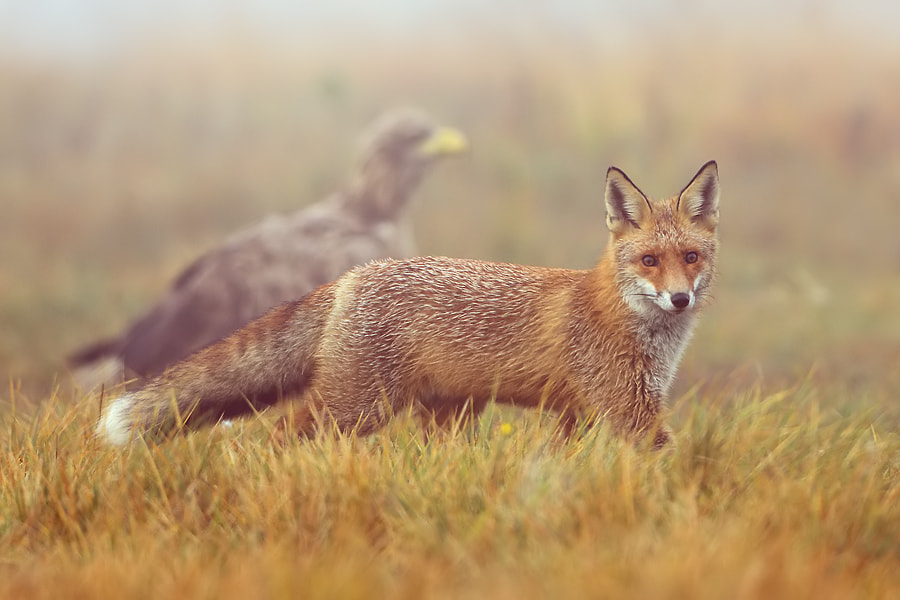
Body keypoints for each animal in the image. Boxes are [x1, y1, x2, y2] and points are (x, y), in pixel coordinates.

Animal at [96, 161, 720, 449]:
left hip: (441, 412)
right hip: (358, 406)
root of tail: (354, 274)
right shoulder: (628, 410)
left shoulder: (582, 413)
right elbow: (675, 466)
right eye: (649, 261)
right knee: (281, 431)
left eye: (690, 257)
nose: (679, 298)